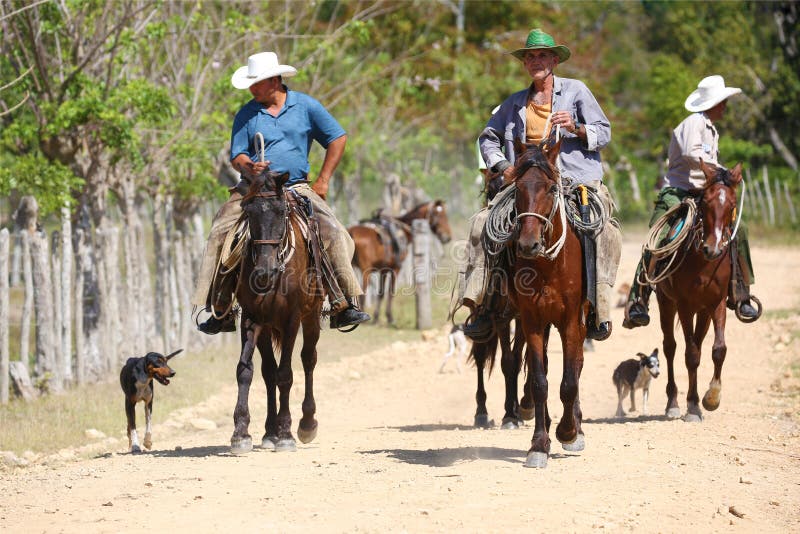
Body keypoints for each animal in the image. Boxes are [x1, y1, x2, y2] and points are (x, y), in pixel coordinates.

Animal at [230, 170, 324, 454]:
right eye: (248, 211)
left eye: (281, 210)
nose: (265, 270)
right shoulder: (251, 318)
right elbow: (246, 371)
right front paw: (240, 433)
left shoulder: (292, 319)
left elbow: (286, 375)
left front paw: (286, 433)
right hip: (266, 328)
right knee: (268, 371)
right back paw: (269, 432)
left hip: (311, 316)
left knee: (308, 360)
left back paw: (306, 424)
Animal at [654, 160, 743, 422]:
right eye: (705, 203)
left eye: (732, 205)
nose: (713, 249)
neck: (704, 263)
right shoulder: (684, 305)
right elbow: (690, 355)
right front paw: (692, 405)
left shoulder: (717, 303)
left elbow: (718, 350)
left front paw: (710, 398)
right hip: (666, 303)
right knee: (671, 347)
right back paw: (673, 403)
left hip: (702, 312)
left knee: (699, 344)